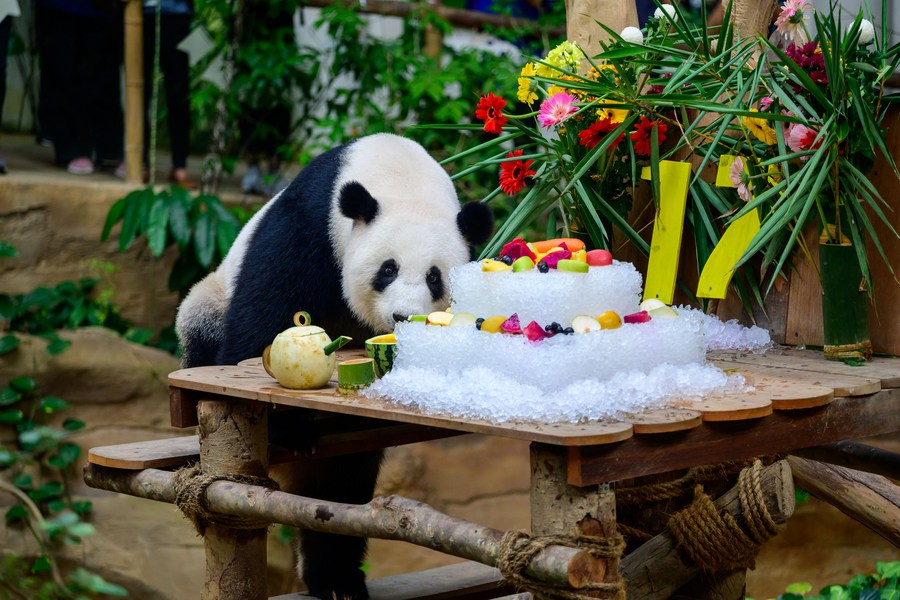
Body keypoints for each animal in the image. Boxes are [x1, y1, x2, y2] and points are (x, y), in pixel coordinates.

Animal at [175, 133, 493, 600]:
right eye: (388, 268)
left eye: (435, 277)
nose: (402, 317)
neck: (398, 174)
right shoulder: (311, 228)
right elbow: (261, 318)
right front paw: (289, 425)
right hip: (209, 299)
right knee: (202, 321)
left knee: (340, 486)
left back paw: (336, 579)